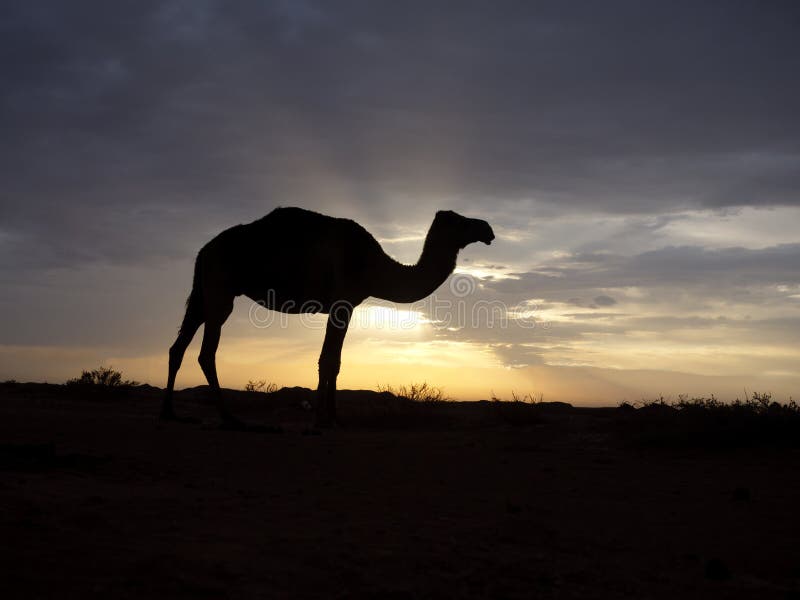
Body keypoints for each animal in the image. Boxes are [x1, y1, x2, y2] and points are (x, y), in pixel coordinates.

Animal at [160, 207, 494, 428]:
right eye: (461, 221)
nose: (488, 229)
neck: (374, 266)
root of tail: (204, 251)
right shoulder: (342, 302)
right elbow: (328, 360)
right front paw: (322, 418)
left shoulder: (345, 306)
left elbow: (335, 361)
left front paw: (334, 416)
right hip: (221, 289)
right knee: (206, 352)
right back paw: (229, 417)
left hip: (203, 291)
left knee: (178, 347)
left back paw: (170, 413)